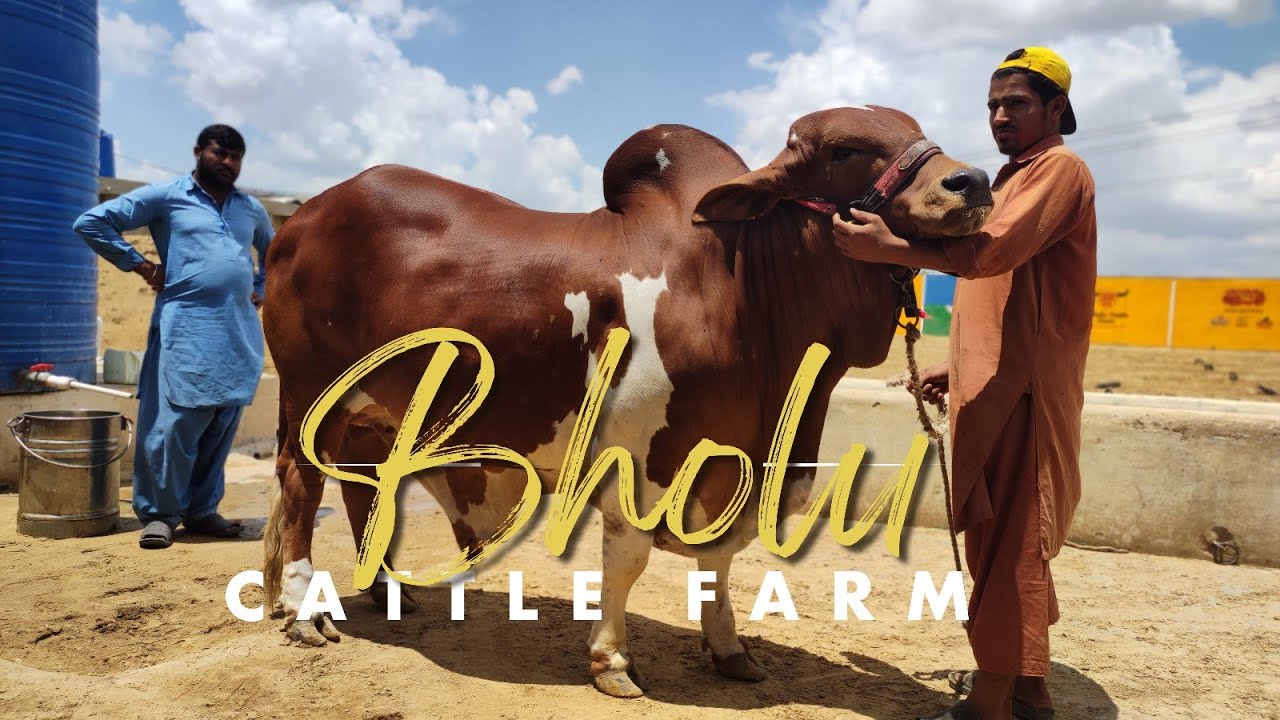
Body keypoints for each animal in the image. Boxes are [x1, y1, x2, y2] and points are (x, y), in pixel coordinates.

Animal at [261, 106, 992, 698]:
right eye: (844, 148)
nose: (974, 181)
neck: (739, 290)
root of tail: (303, 216)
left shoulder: (729, 464)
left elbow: (718, 563)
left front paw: (728, 649)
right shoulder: (638, 461)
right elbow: (629, 560)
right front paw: (611, 661)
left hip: (377, 414)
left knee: (363, 486)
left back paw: (386, 589)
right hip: (312, 399)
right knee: (301, 487)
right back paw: (304, 610)